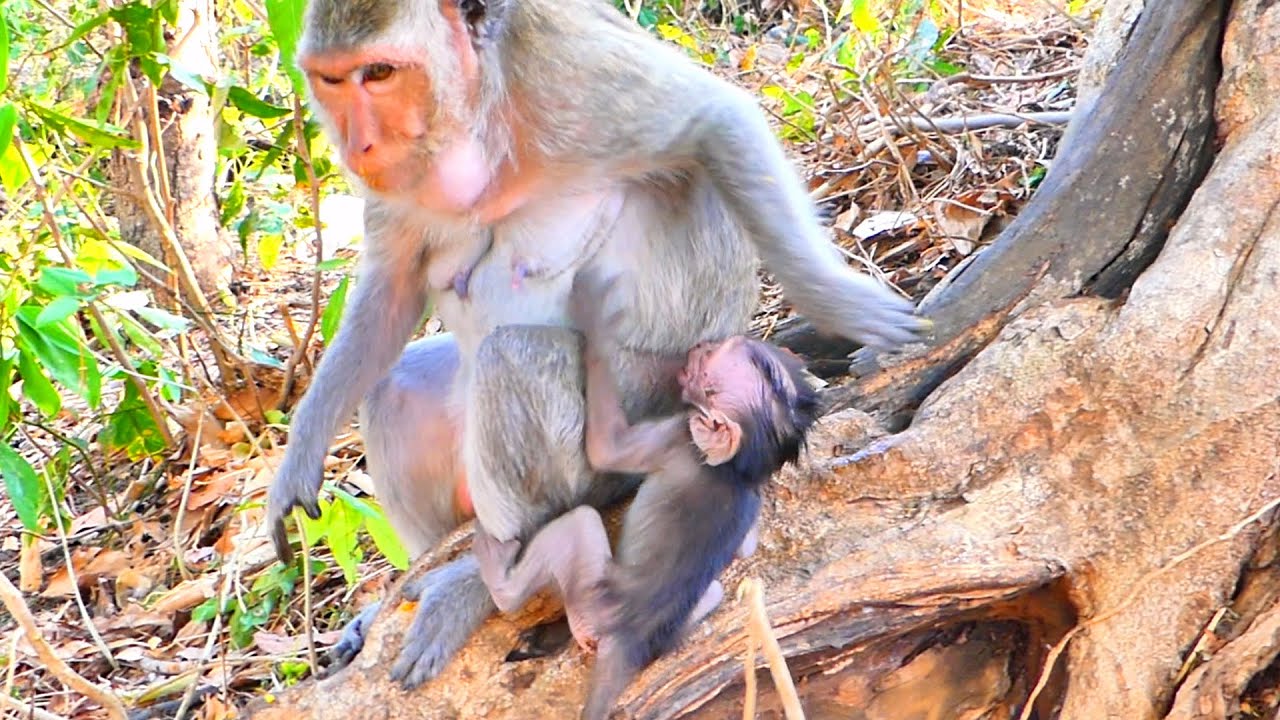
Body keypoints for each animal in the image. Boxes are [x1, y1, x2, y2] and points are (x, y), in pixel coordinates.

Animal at [472, 272, 821, 719]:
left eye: (708, 364)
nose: (699, 346)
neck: (736, 469)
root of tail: (628, 639)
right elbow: (745, 545)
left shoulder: (677, 435)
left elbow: (606, 449)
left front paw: (598, 324)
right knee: (712, 591)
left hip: (591, 602)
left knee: (578, 524)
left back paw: (501, 578)